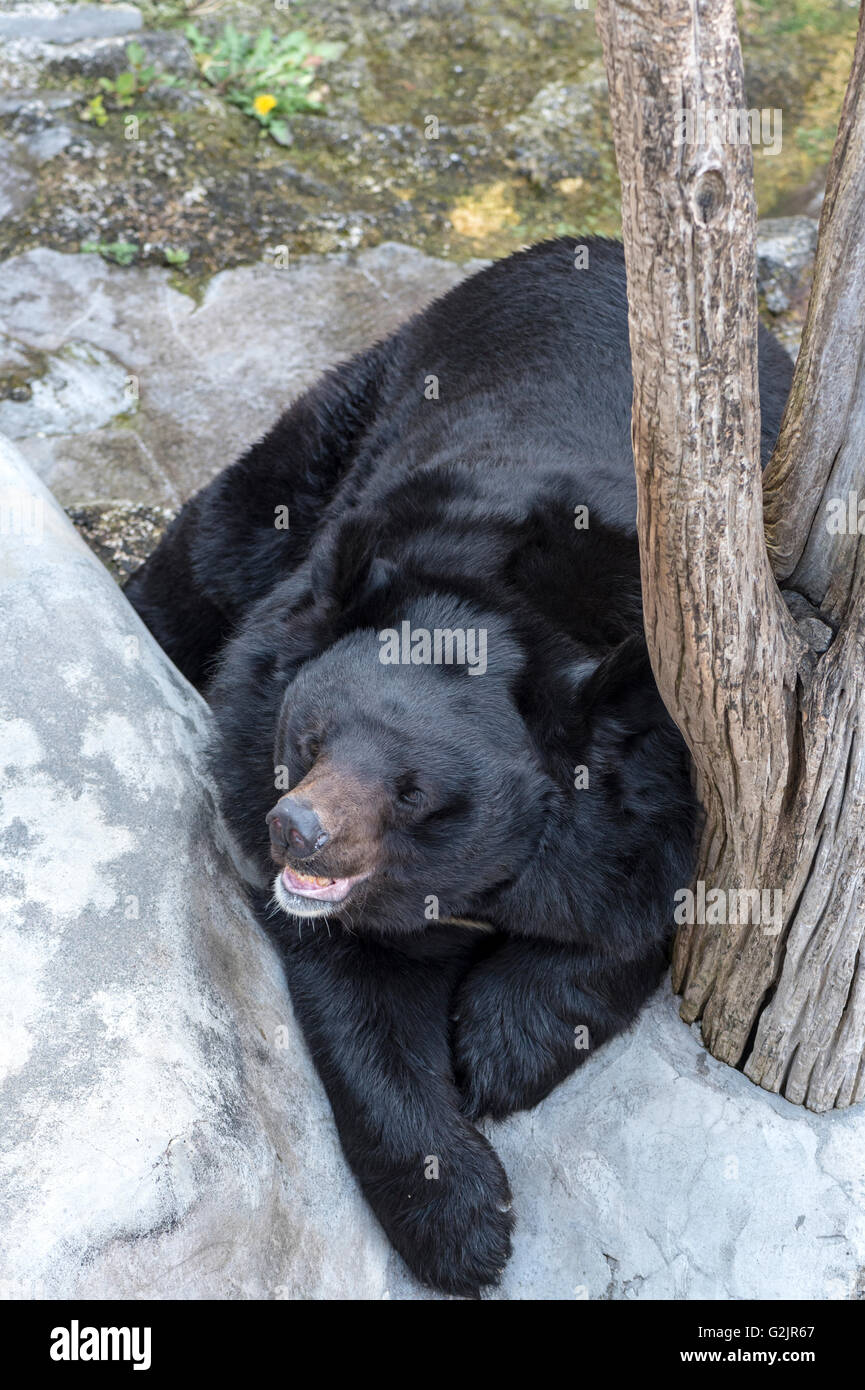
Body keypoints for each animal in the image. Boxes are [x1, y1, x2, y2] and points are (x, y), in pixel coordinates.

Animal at [125, 237, 793, 1296]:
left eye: (416, 793)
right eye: (309, 738)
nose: (296, 829)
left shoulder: (679, 747)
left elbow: (653, 899)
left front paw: (497, 1049)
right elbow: (353, 1002)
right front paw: (463, 1222)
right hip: (353, 407)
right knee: (224, 540)